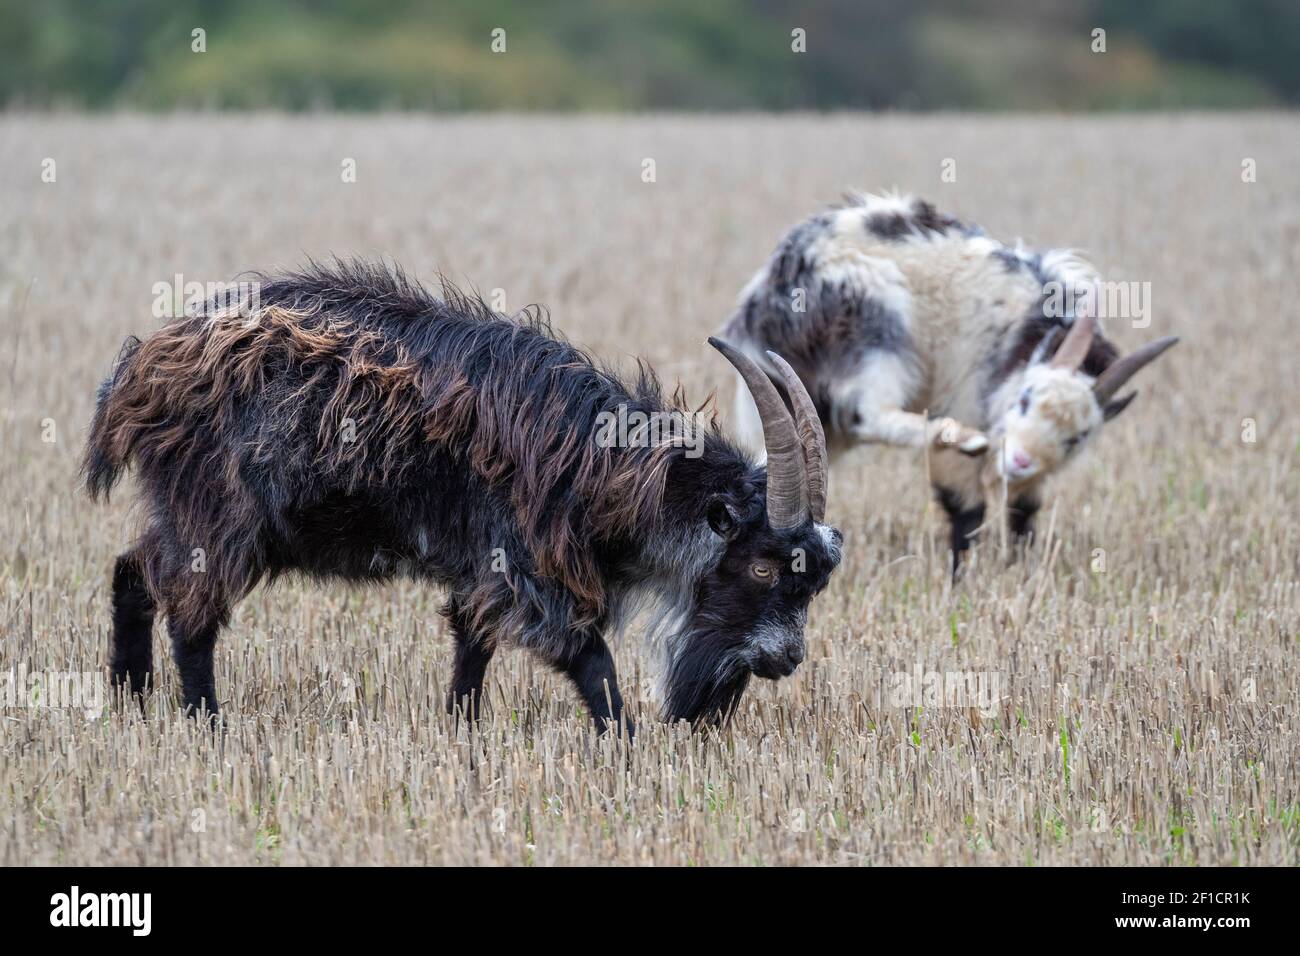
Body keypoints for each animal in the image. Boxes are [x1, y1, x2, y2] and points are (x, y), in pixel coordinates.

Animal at [83, 261, 843, 732]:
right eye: (763, 565)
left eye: (815, 581)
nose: (787, 660)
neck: (607, 467)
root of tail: (139, 374)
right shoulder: (526, 573)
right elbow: (591, 659)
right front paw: (627, 746)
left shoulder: (481, 574)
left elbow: (471, 650)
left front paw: (461, 731)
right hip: (219, 516)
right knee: (191, 615)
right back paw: (205, 723)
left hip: (185, 511)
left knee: (132, 572)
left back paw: (130, 698)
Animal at [717, 193, 1177, 571]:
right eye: (1026, 399)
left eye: (1078, 437)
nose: (1018, 460)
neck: (1022, 333)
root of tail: (765, 298)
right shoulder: (966, 398)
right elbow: (965, 509)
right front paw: (961, 576)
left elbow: (1023, 512)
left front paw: (1022, 570)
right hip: (879, 330)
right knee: (870, 413)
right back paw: (961, 436)